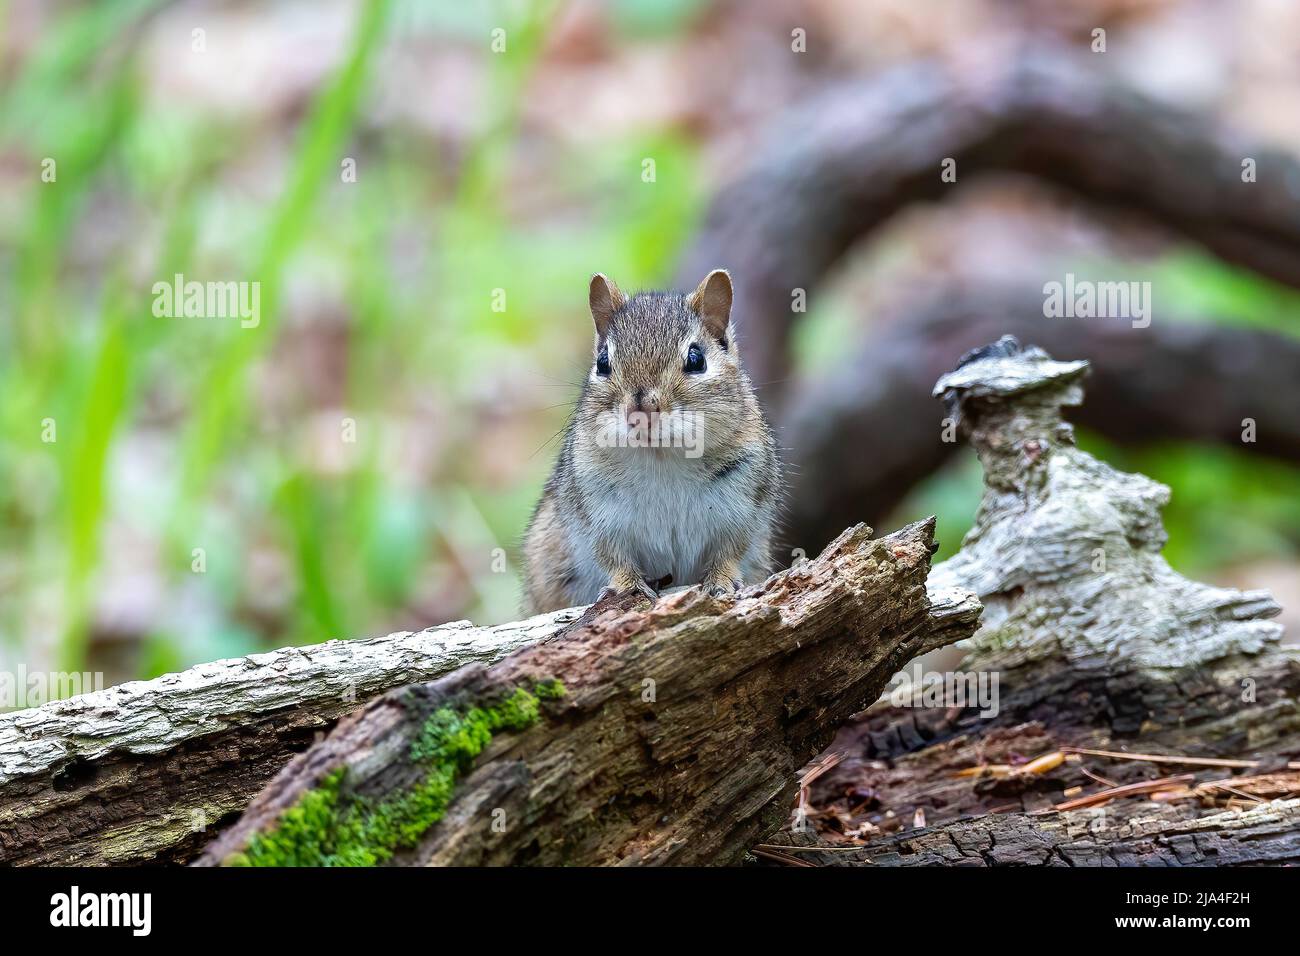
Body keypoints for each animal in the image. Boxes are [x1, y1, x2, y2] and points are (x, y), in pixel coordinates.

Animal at [521, 269, 782, 614]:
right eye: (602, 362)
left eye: (696, 359)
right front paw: (628, 588)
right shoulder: (597, 511)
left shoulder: (743, 504)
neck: (662, 457)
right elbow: (612, 556)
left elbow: (730, 550)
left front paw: (722, 582)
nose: (641, 410)